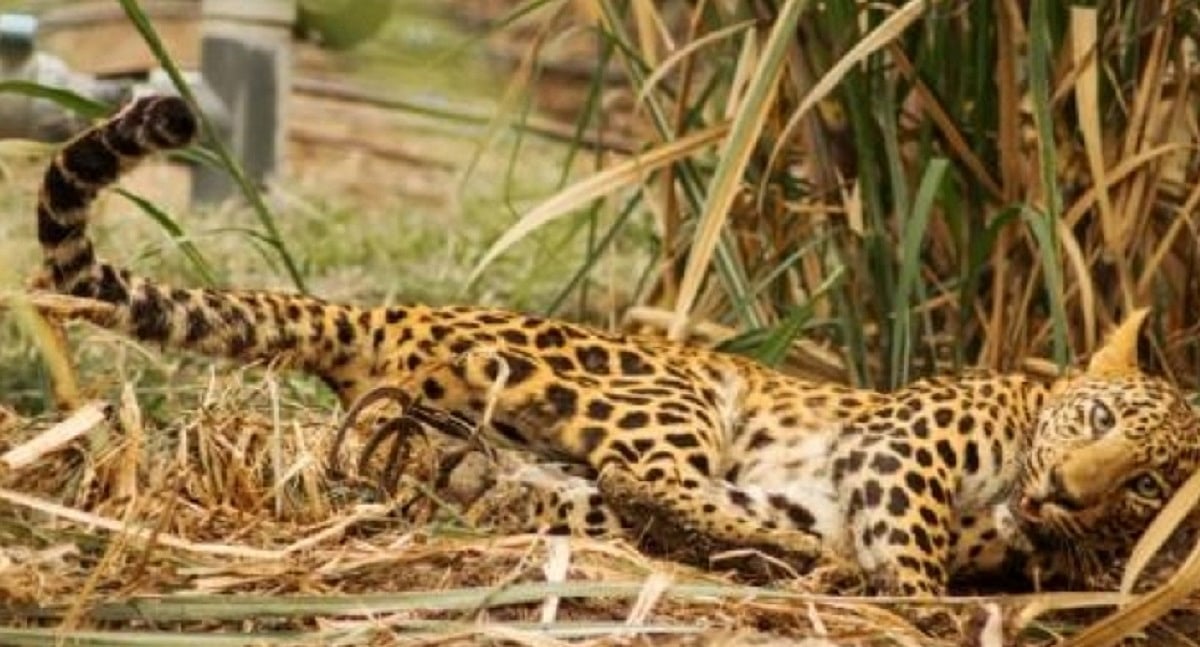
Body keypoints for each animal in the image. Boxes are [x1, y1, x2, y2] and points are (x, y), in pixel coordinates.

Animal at [27, 94, 1200, 596]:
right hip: (664, 388)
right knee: (646, 475)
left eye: (1150, 481)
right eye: (1097, 417)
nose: (1071, 490)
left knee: (522, 482)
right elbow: (910, 554)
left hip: (495, 451)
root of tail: (399, 314)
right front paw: (911, 602)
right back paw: (790, 561)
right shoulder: (895, 448)